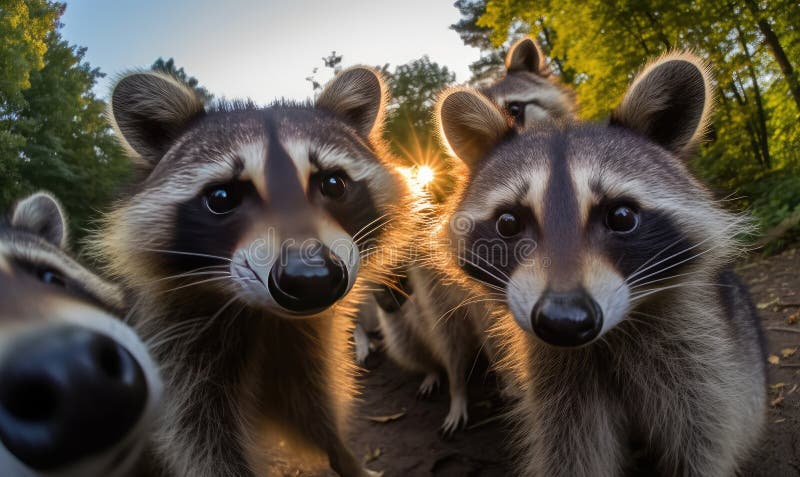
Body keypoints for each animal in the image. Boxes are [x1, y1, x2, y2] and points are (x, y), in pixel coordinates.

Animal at [94, 67, 417, 476]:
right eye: (221, 198)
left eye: (333, 183)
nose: (311, 279)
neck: (263, 317)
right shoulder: (172, 350)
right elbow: (200, 441)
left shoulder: (301, 342)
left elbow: (312, 404)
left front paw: (343, 454)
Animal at [435, 53, 766, 476]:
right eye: (508, 223)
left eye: (621, 216)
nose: (563, 321)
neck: (606, 341)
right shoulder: (558, 388)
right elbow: (572, 453)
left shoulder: (702, 364)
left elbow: (703, 440)